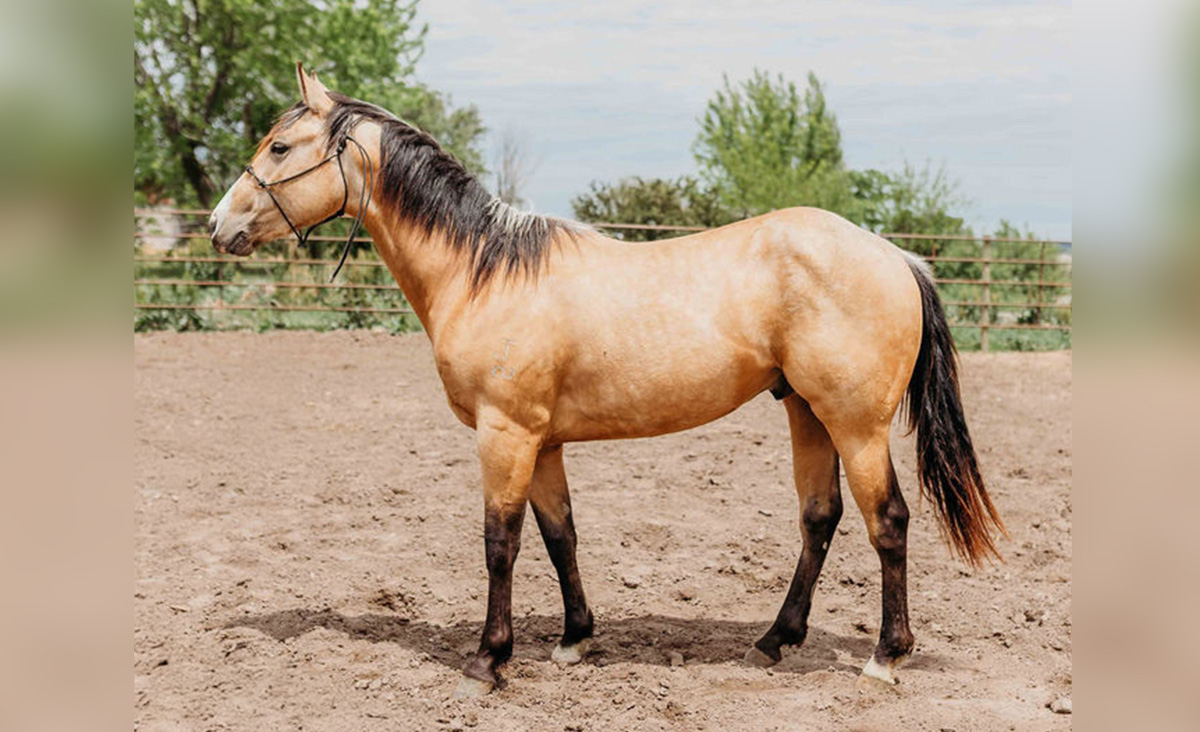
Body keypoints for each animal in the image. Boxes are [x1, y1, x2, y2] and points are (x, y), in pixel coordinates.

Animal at [208, 64, 1006, 697]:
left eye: (279, 147)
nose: (220, 227)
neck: (484, 271)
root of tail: (897, 256)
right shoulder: (544, 442)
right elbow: (560, 533)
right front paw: (574, 639)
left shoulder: (506, 434)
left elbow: (500, 543)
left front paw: (487, 662)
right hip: (805, 411)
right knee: (820, 518)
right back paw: (775, 641)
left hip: (856, 423)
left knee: (887, 522)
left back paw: (885, 657)